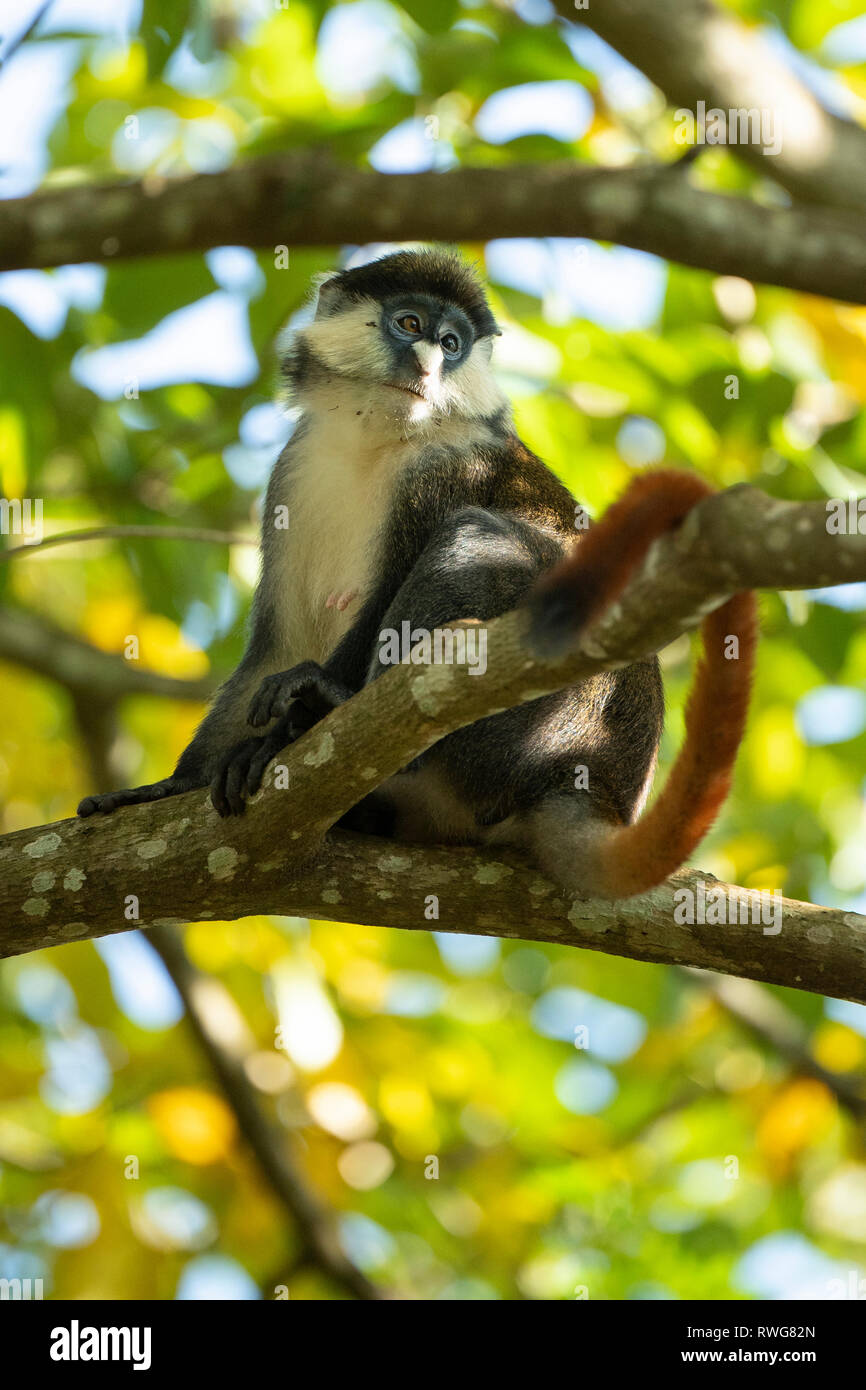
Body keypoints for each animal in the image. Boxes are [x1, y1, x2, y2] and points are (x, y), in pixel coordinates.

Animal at [77, 248, 757, 900]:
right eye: (409, 324)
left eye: (451, 343)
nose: (428, 364)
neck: (372, 438)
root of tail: (596, 791)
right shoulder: (293, 469)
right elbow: (278, 643)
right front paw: (170, 787)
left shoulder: (451, 466)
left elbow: (383, 598)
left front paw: (304, 707)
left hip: (533, 728)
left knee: (479, 539)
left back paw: (326, 712)